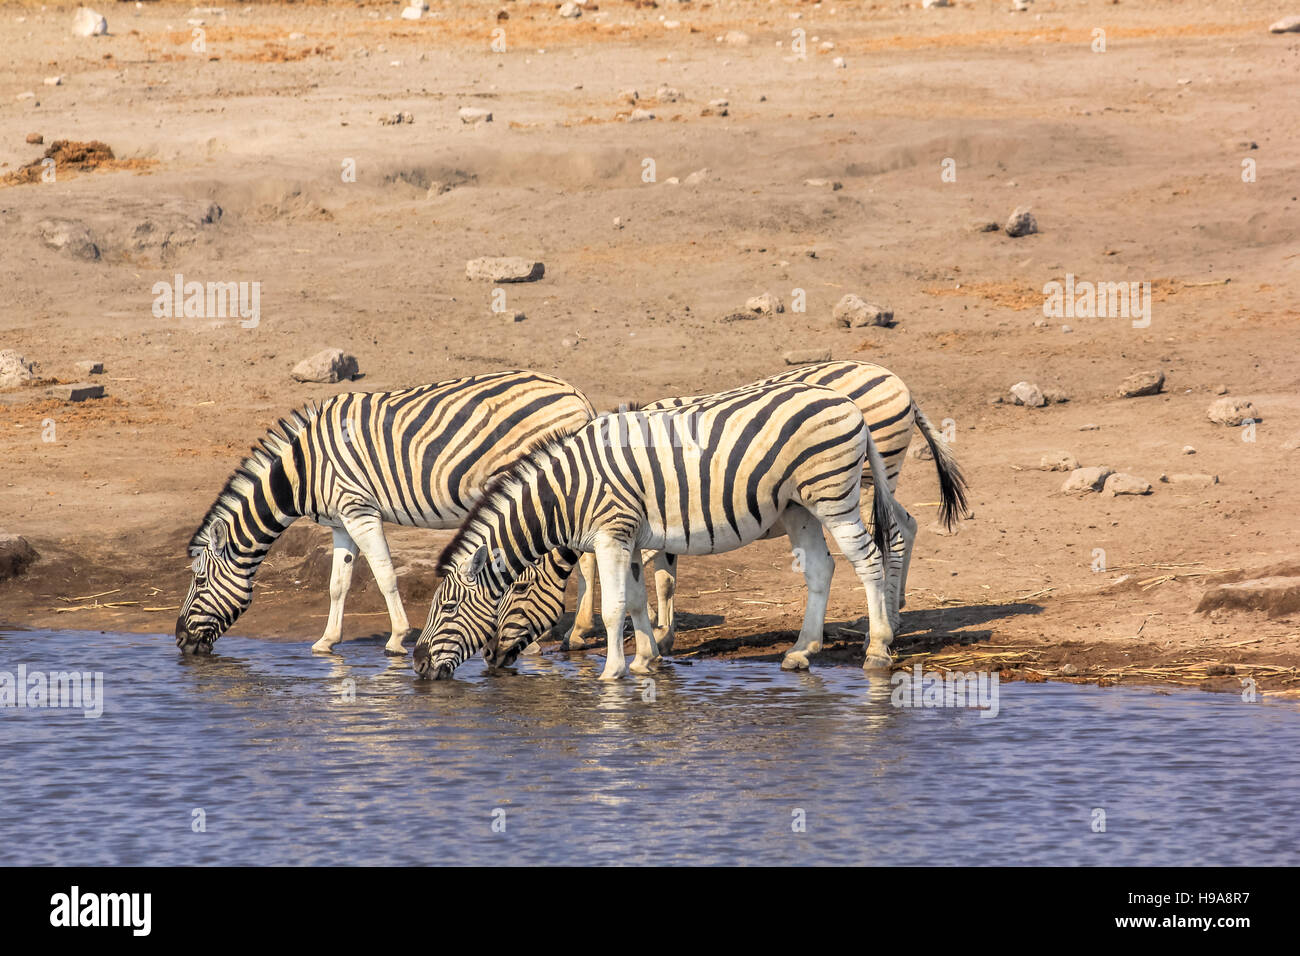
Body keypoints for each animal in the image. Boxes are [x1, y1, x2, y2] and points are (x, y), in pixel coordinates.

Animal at [174, 370, 594, 656]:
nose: (179, 640)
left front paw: (396, 638)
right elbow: (338, 583)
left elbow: (385, 576)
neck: (301, 470)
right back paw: (575, 634)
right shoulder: (341, 522)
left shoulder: (359, 509)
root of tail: (576, 394)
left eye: (199, 581)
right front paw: (326, 641)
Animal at [413, 380, 900, 680]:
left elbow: (613, 608)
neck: (568, 494)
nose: (416, 664)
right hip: (799, 506)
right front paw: (645, 660)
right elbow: (635, 601)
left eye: (449, 607)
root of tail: (847, 403)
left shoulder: (611, 534)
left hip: (833, 495)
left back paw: (877, 650)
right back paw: (802, 652)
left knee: (870, 561)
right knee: (820, 570)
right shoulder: (628, 538)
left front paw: (612, 673)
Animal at [489, 361, 968, 665]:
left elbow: (658, 580)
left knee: (887, 540)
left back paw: (881, 633)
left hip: (858, 480)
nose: (492, 659)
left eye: (514, 592)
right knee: (905, 524)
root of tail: (896, 381)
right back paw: (889, 613)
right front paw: (656, 640)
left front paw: (652, 637)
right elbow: (656, 580)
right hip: (863, 483)